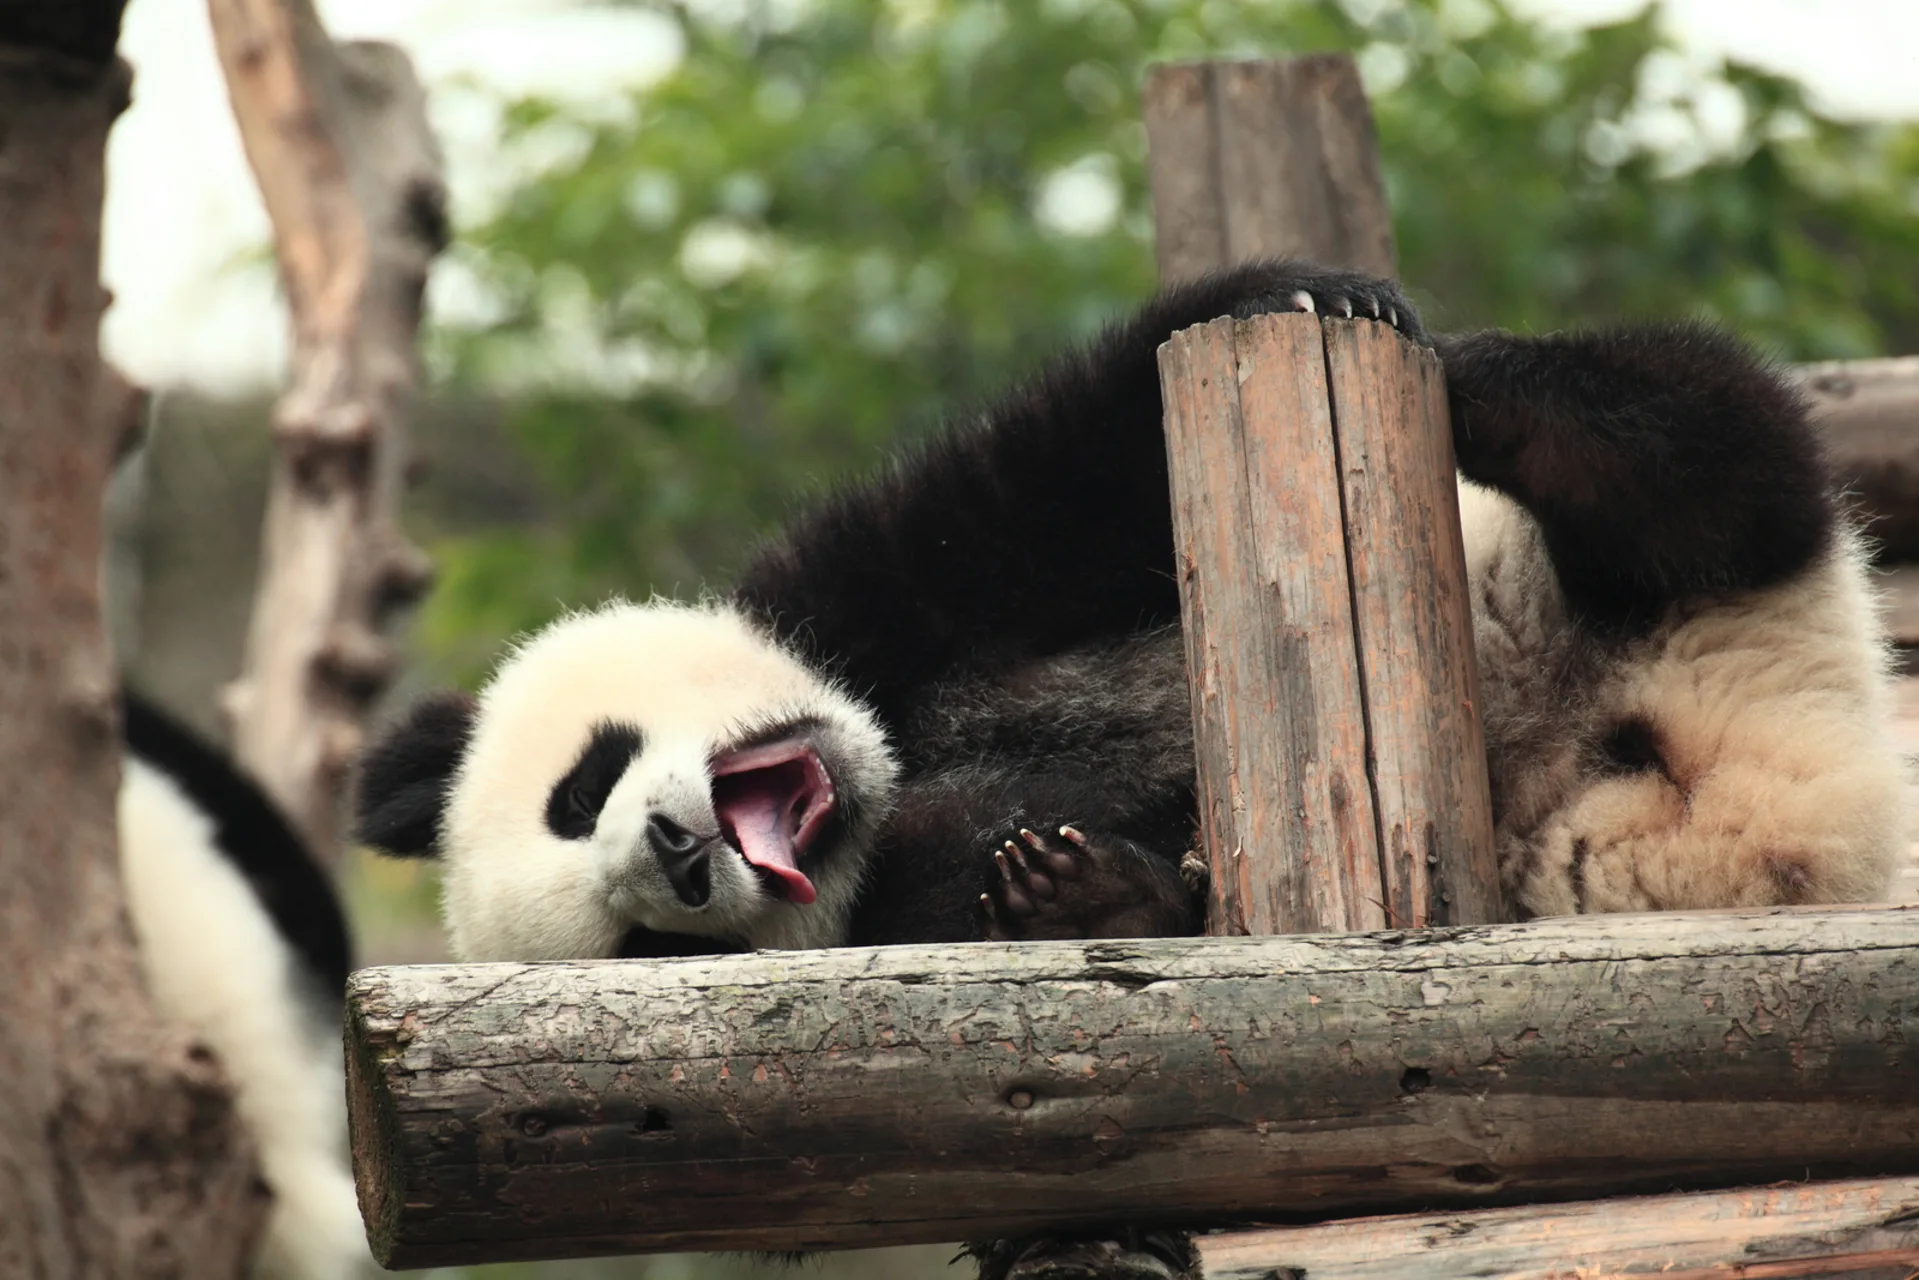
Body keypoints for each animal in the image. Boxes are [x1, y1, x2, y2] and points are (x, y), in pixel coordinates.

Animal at [354, 259, 1905, 960]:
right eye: (645, 944)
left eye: (583, 784)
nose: (673, 853)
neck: (892, 763)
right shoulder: (889, 904)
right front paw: (1085, 881)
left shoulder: (865, 585)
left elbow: (1059, 475)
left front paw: (1307, 290)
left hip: (1634, 573)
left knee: (1705, 456)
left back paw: (1505, 398)